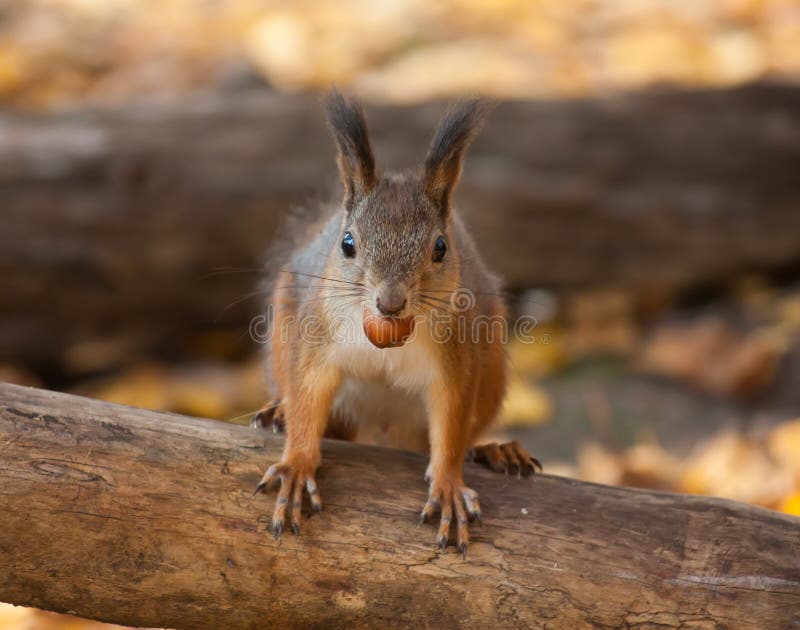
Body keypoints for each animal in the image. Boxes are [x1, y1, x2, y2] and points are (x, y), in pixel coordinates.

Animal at [252, 90, 540, 558]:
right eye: (347, 243)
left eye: (441, 247)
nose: (390, 304)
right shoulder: (316, 338)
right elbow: (308, 396)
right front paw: (296, 465)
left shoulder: (457, 351)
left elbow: (450, 421)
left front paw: (448, 486)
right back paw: (278, 411)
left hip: (493, 368)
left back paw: (496, 451)